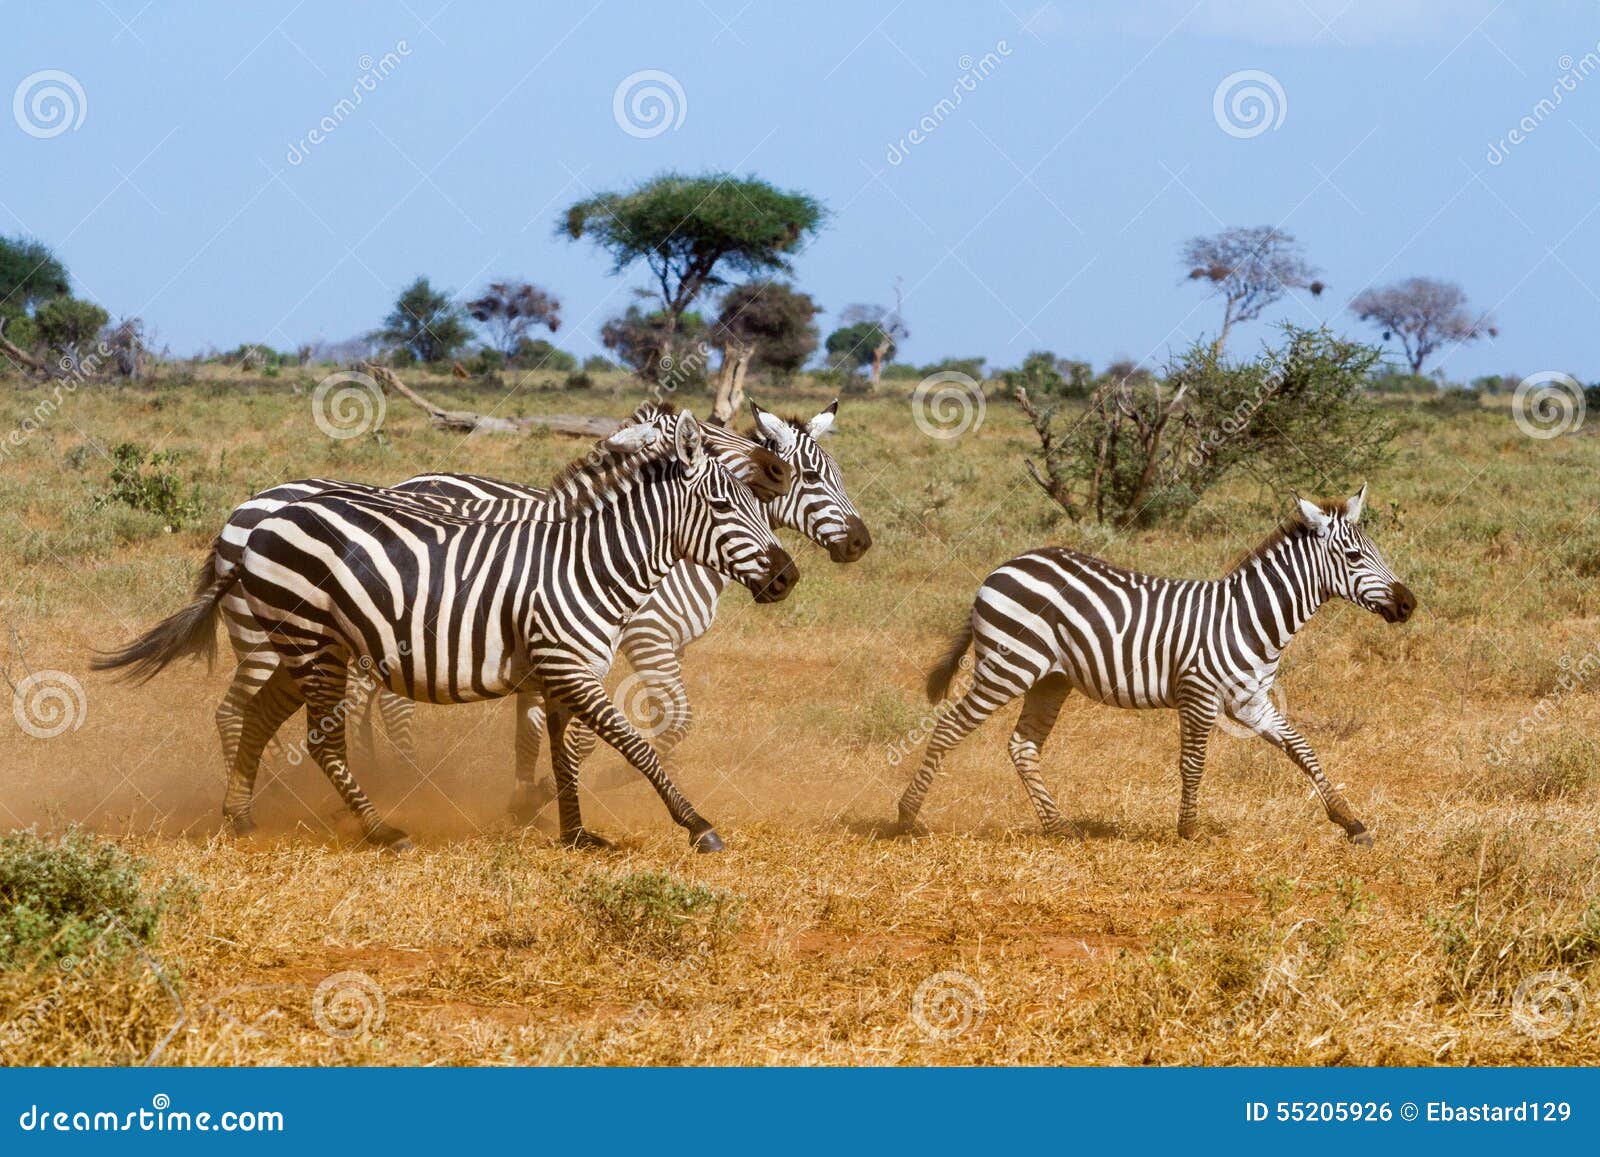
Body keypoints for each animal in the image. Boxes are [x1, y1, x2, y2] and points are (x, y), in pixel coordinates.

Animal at [96, 412, 796, 853]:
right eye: (725, 506)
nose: (787, 576)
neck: (588, 565)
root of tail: (256, 524)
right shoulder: (567, 668)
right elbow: (637, 746)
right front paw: (696, 824)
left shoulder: (561, 674)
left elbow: (565, 757)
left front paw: (573, 833)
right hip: (311, 644)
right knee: (318, 740)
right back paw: (381, 831)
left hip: (305, 647)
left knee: (259, 715)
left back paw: (241, 816)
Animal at [894, 488, 1416, 845]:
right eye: (1355, 556)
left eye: (1378, 552)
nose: (1409, 604)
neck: (1251, 618)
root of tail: (1004, 566)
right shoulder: (1199, 694)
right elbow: (1194, 762)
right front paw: (1189, 829)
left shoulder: (1252, 703)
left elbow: (1304, 750)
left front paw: (1350, 821)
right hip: (1007, 668)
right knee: (947, 728)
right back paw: (907, 818)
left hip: (1050, 679)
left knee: (1022, 746)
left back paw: (1060, 826)